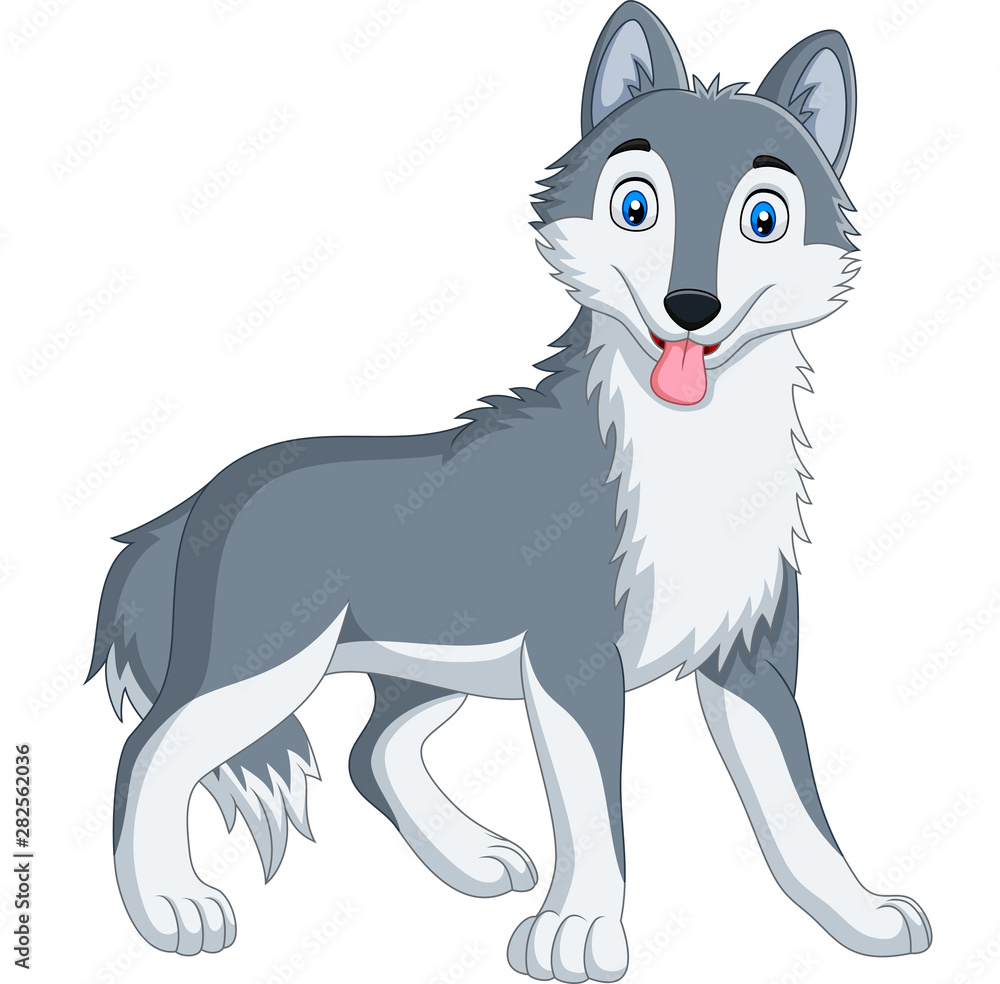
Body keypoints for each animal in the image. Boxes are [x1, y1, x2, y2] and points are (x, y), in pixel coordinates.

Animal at [88, 4, 931, 980]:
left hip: (424, 665)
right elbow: (597, 814)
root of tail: (200, 497)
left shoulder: (750, 659)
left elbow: (800, 814)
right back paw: (169, 908)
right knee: (149, 751)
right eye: (636, 207)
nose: (691, 307)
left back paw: (468, 857)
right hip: (265, 669)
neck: (691, 468)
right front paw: (580, 933)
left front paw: (859, 921)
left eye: (764, 217)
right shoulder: (571, 662)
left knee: (372, 751)